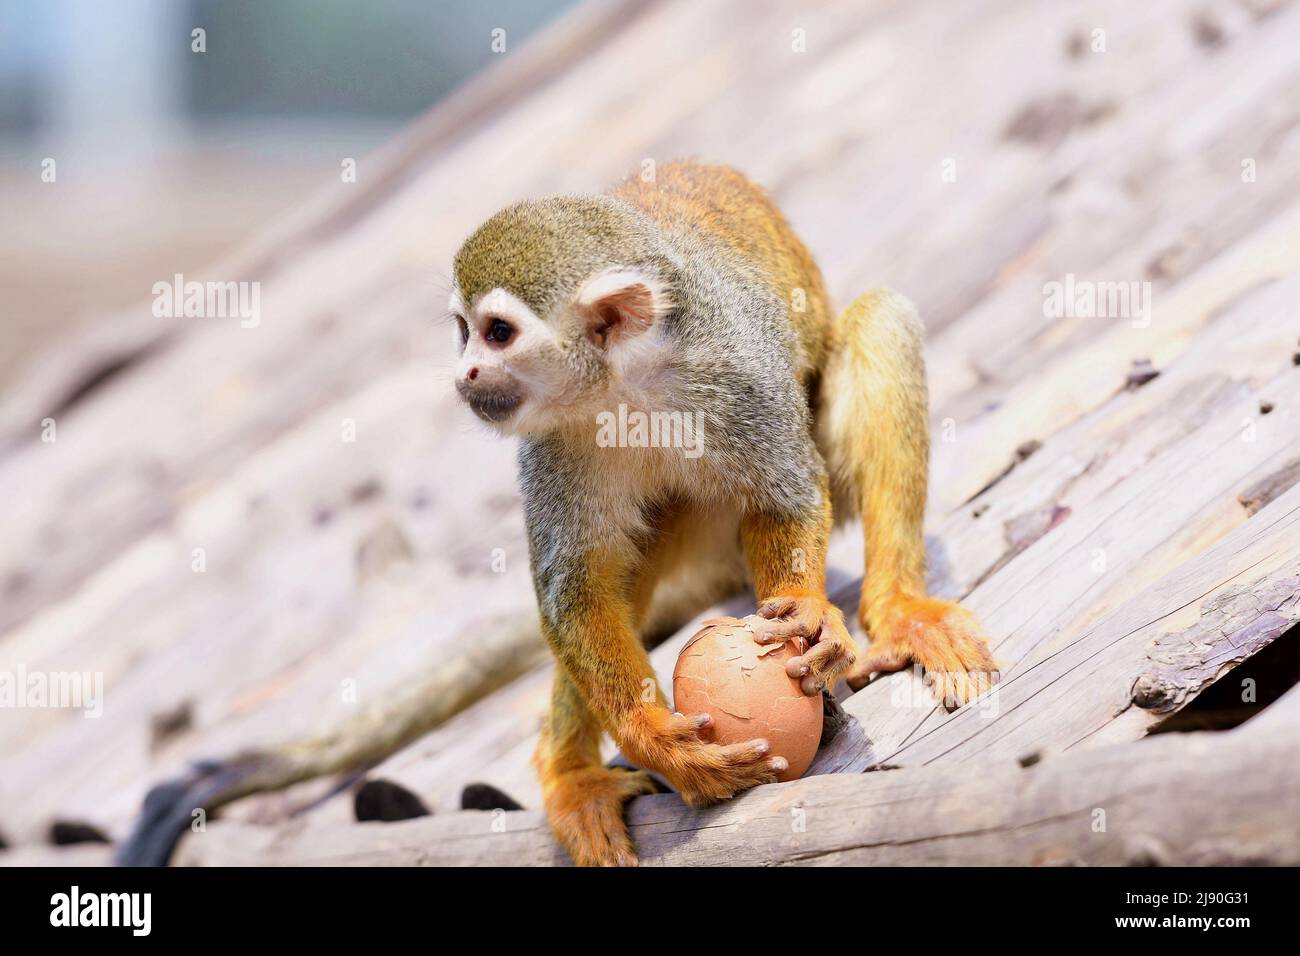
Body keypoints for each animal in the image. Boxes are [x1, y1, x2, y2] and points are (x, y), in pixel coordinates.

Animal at [447, 161, 997, 866]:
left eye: (497, 332)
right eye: (462, 330)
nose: (465, 373)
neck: (627, 383)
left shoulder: (737, 374)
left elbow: (784, 492)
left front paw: (807, 615)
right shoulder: (551, 438)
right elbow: (576, 591)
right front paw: (657, 739)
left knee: (880, 318)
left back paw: (901, 611)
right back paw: (569, 776)